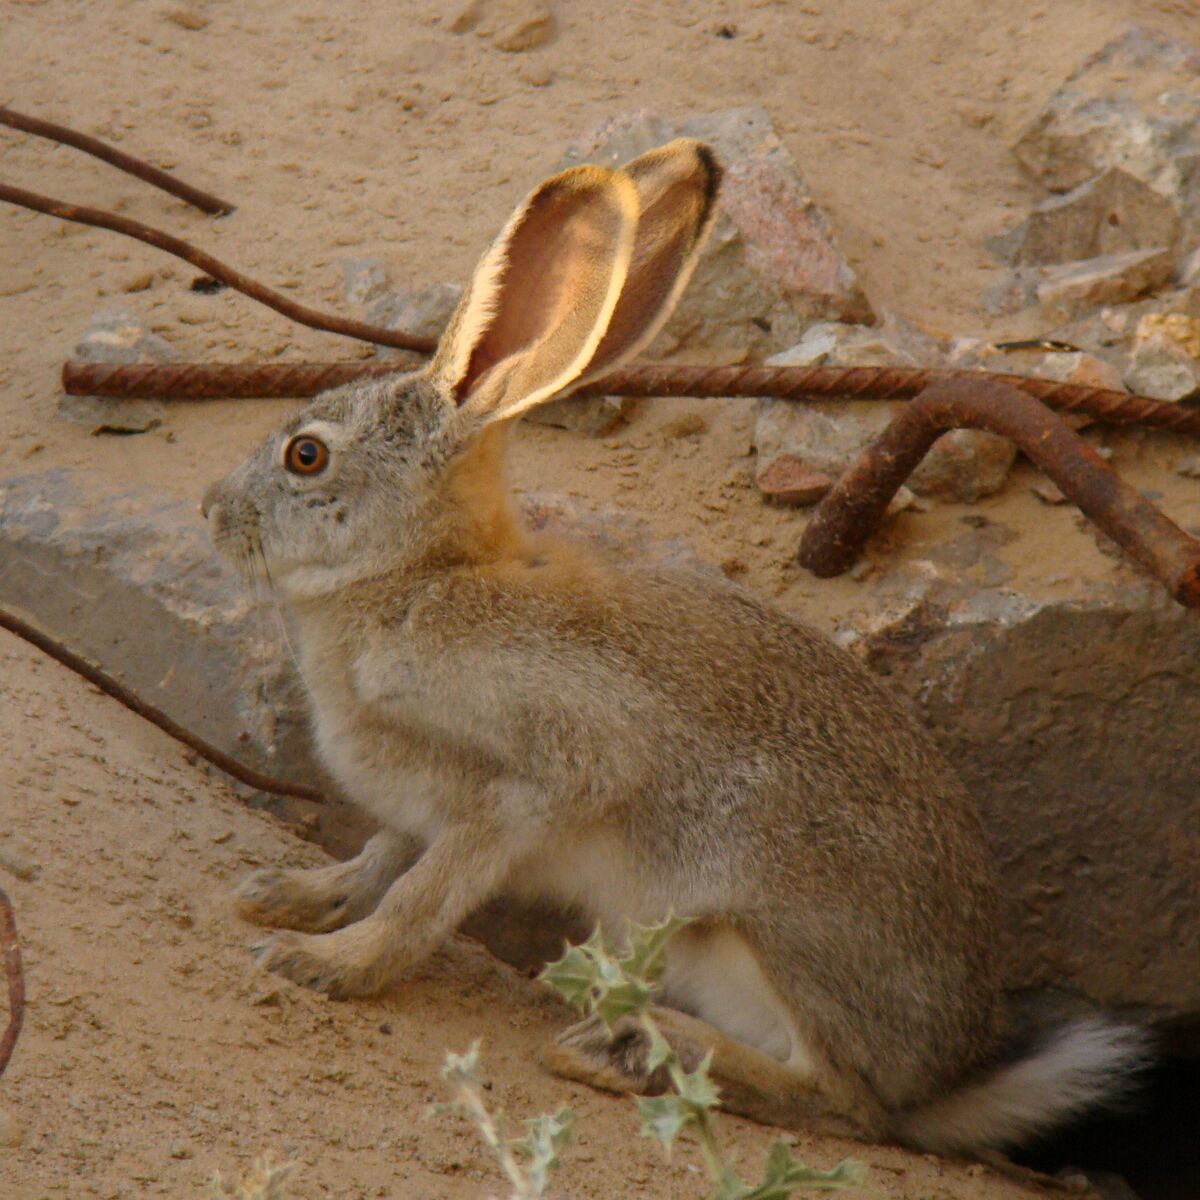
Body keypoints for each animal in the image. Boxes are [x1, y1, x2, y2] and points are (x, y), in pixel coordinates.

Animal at [203, 138, 1145, 1157]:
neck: (420, 576)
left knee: (849, 1103)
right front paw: (287, 897)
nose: (211, 511)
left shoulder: (525, 786)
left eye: (305, 457)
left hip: (754, 939)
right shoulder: (420, 808)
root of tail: (946, 1078)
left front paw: (320, 965)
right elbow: (378, 861)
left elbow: (421, 897)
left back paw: (623, 1049)